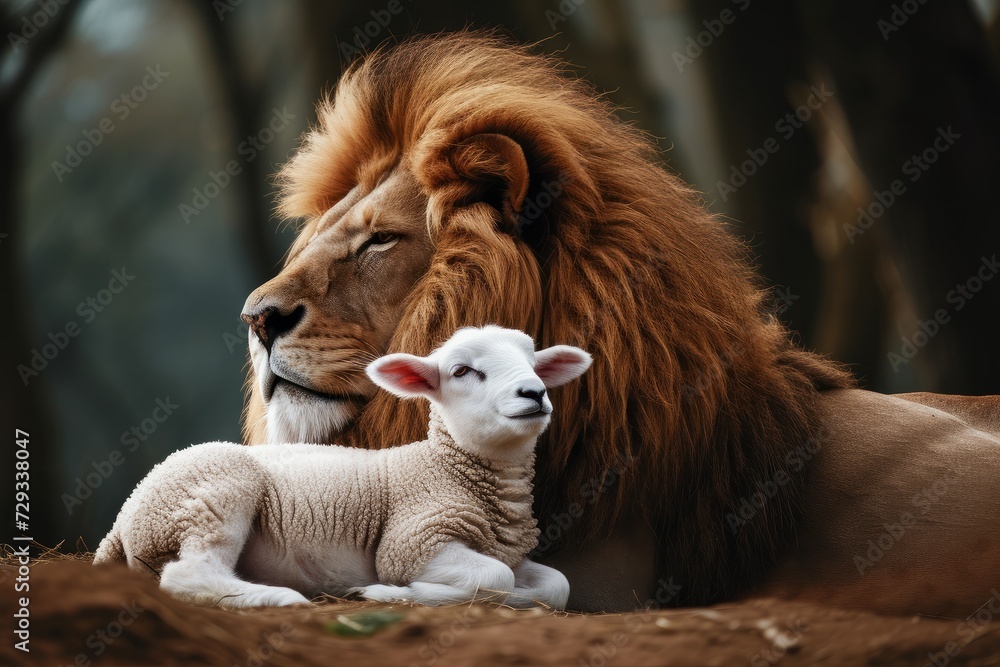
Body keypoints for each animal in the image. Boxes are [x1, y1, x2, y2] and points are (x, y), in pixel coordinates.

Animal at [93, 325, 591, 610]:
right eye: (462, 371)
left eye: (534, 364)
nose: (534, 393)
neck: (445, 468)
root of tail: (124, 517)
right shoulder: (413, 539)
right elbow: (495, 578)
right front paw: (392, 592)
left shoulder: (512, 553)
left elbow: (557, 586)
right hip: (213, 493)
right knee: (187, 574)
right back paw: (279, 598)